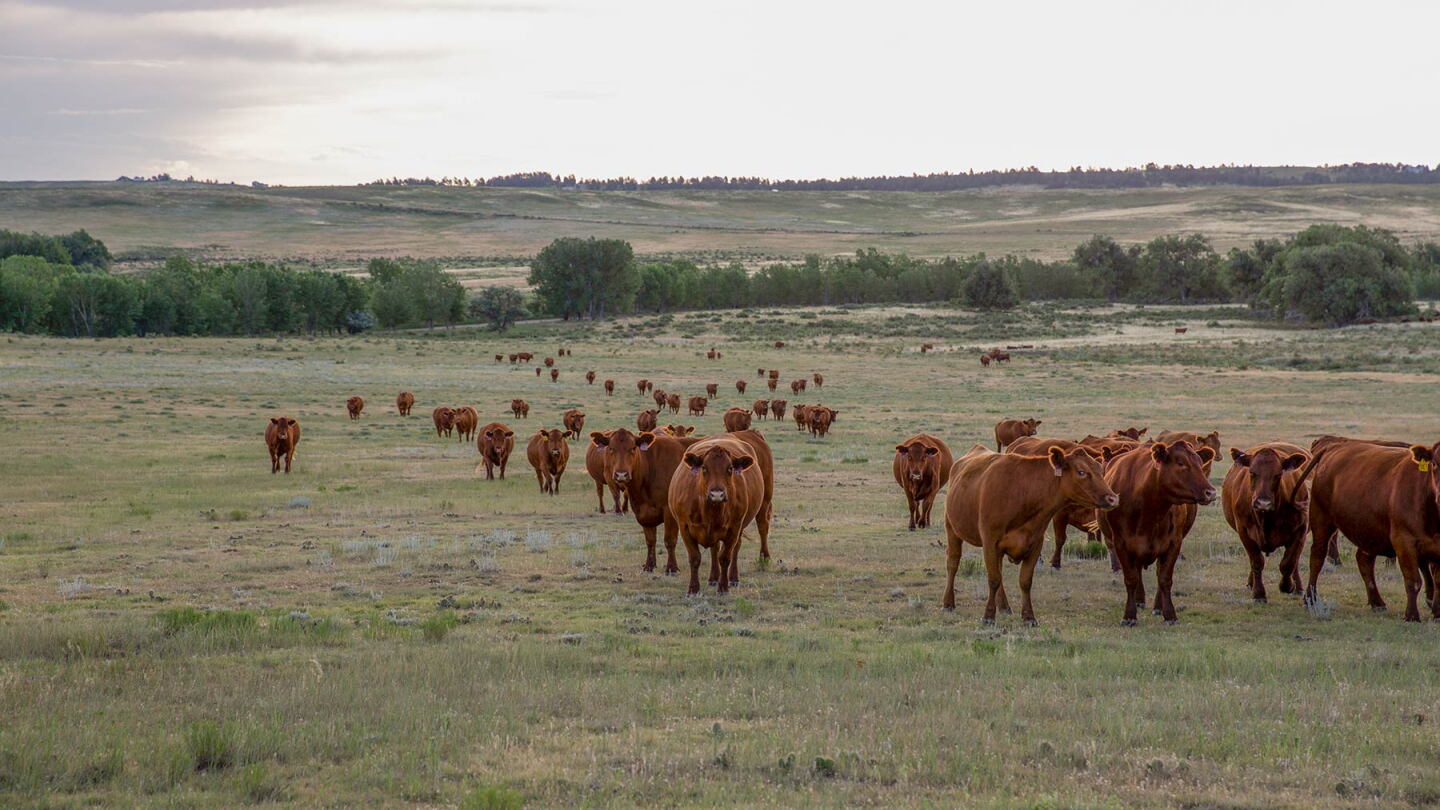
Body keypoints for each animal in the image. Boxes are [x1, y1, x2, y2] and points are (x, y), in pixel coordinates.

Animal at [667, 432, 775, 594]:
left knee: (759, 530)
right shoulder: (684, 527)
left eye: (729, 469)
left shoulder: (734, 529)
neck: (709, 510)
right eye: (704, 468)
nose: (716, 494)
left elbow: (725, 557)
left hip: (763, 503)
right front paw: (693, 589)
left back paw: (741, 573)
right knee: (715, 549)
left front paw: (723, 587)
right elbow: (695, 558)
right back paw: (713, 577)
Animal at [943, 444, 1118, 624]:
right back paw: (948, 603)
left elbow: (1025, 581)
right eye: (1081, 472)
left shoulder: (1035, 545)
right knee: (953, 563)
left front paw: (1029, 617)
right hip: (952, 529)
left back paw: (1004, 606)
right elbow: (993, 579)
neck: (1022, 492)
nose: (1112, 498)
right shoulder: (990, 542)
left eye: (1100, 470)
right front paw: (988, 616)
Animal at [1098, 441, 1218, 625]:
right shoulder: (1121, 544)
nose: (1210, 492)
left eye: (1200, 463)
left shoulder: (1173, 544)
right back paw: (1139, 600)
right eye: (1181, 463)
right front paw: (1129, 615)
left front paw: (1169, 615)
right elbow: (1131, 578)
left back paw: (1157, 606)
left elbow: (1164, 579)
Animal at [1222, 442, 1311, 602]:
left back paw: (1298, 588)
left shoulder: (1300, 531)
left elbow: (1288, 563)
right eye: (1252, 472)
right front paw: (1258, 594)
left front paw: (1287, 586)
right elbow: (1257, 562)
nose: (1263, 503)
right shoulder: (1244, 532)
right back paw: (1251, 584)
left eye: (1278, 475)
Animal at [1303, 436, 1440, 622]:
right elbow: (1413, 581)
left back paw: (1377, 602)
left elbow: (1437, 582)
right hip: (1321, 520)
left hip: (1368, 530)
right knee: (1317, 557)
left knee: (1364, 559)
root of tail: (1334, 445)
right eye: (1435, 464)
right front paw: (1412, 616)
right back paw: (1310, 597)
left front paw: (1437, 613)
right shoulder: (1404, 542)